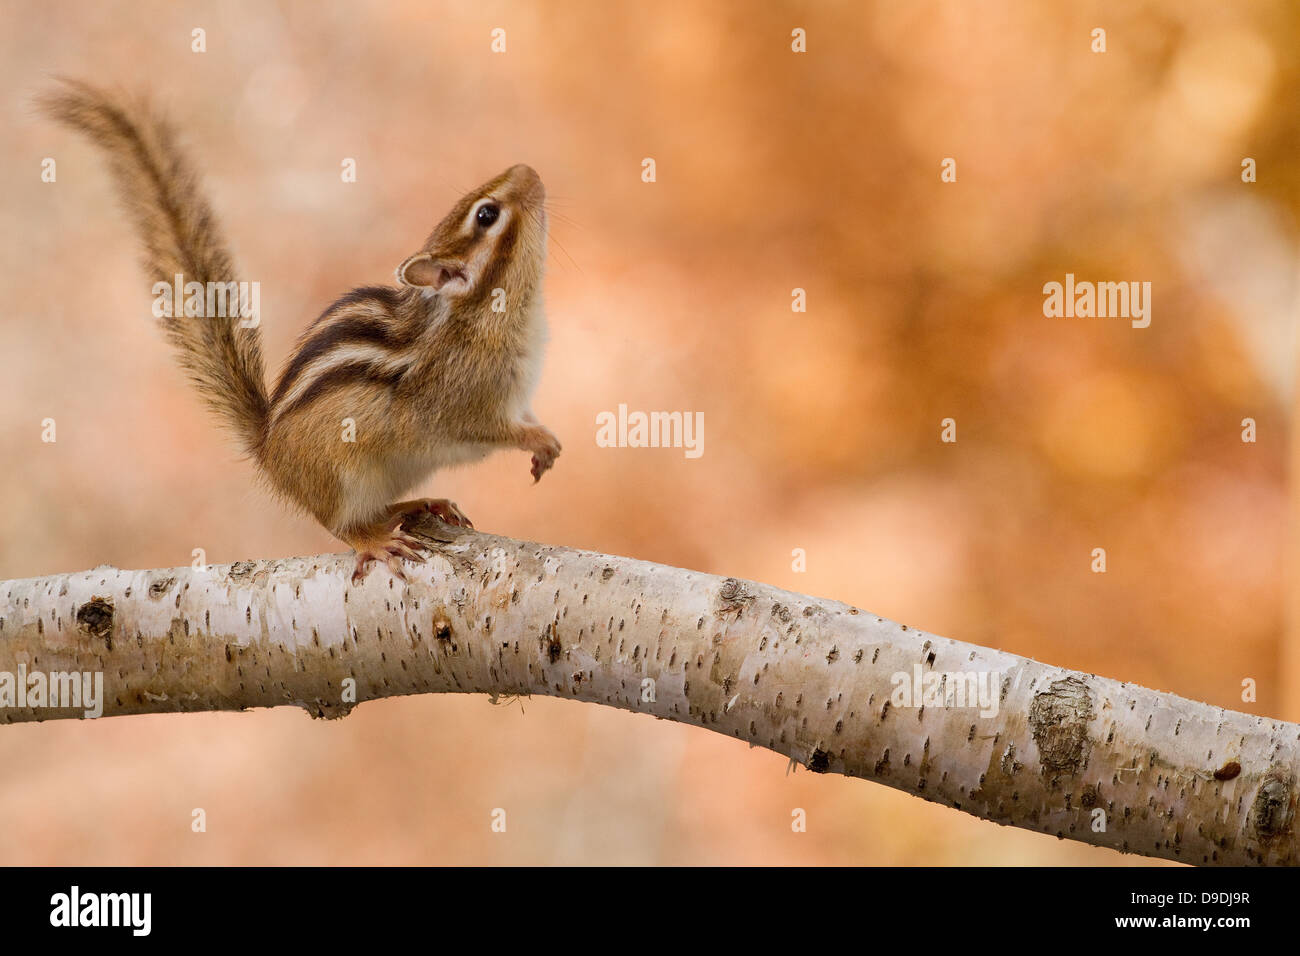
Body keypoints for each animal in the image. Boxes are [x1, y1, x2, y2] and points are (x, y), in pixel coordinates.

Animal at [40, 79, 561, 581]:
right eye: (487, 214)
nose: (529, 169)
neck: (494, 311)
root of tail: (268, 450)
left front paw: (546, 443)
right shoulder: (463, 398)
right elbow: (488, 427)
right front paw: (538, 441)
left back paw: (421, 502)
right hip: (344, 474)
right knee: (339, 523)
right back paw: (374, 540)